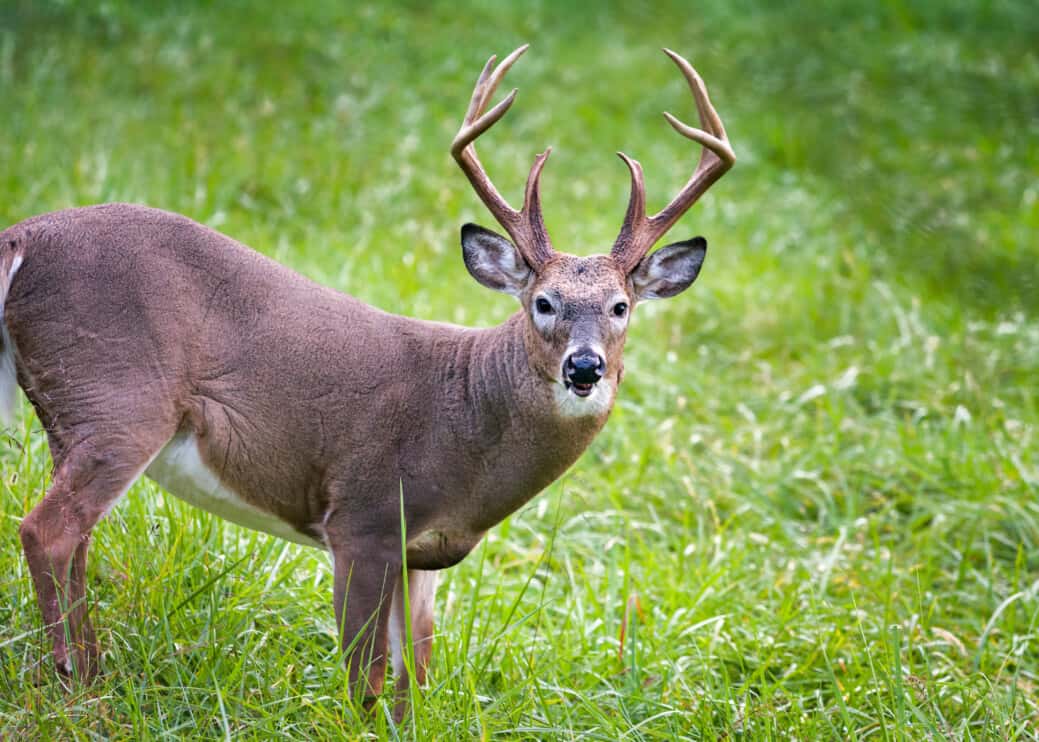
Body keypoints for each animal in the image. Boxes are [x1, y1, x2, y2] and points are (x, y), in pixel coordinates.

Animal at [0, 45, 733, 706]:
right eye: (543, 302)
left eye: (620, 306)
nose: (585, 366)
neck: (465, 417)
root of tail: (22, 237)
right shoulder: (362, 514)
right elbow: (365, 679)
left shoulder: (422, 554)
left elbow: (416, 680)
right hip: (119, 398)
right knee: (47, 530)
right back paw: (77, 685)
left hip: (73, 411)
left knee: (77, 538)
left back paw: (92, 672)